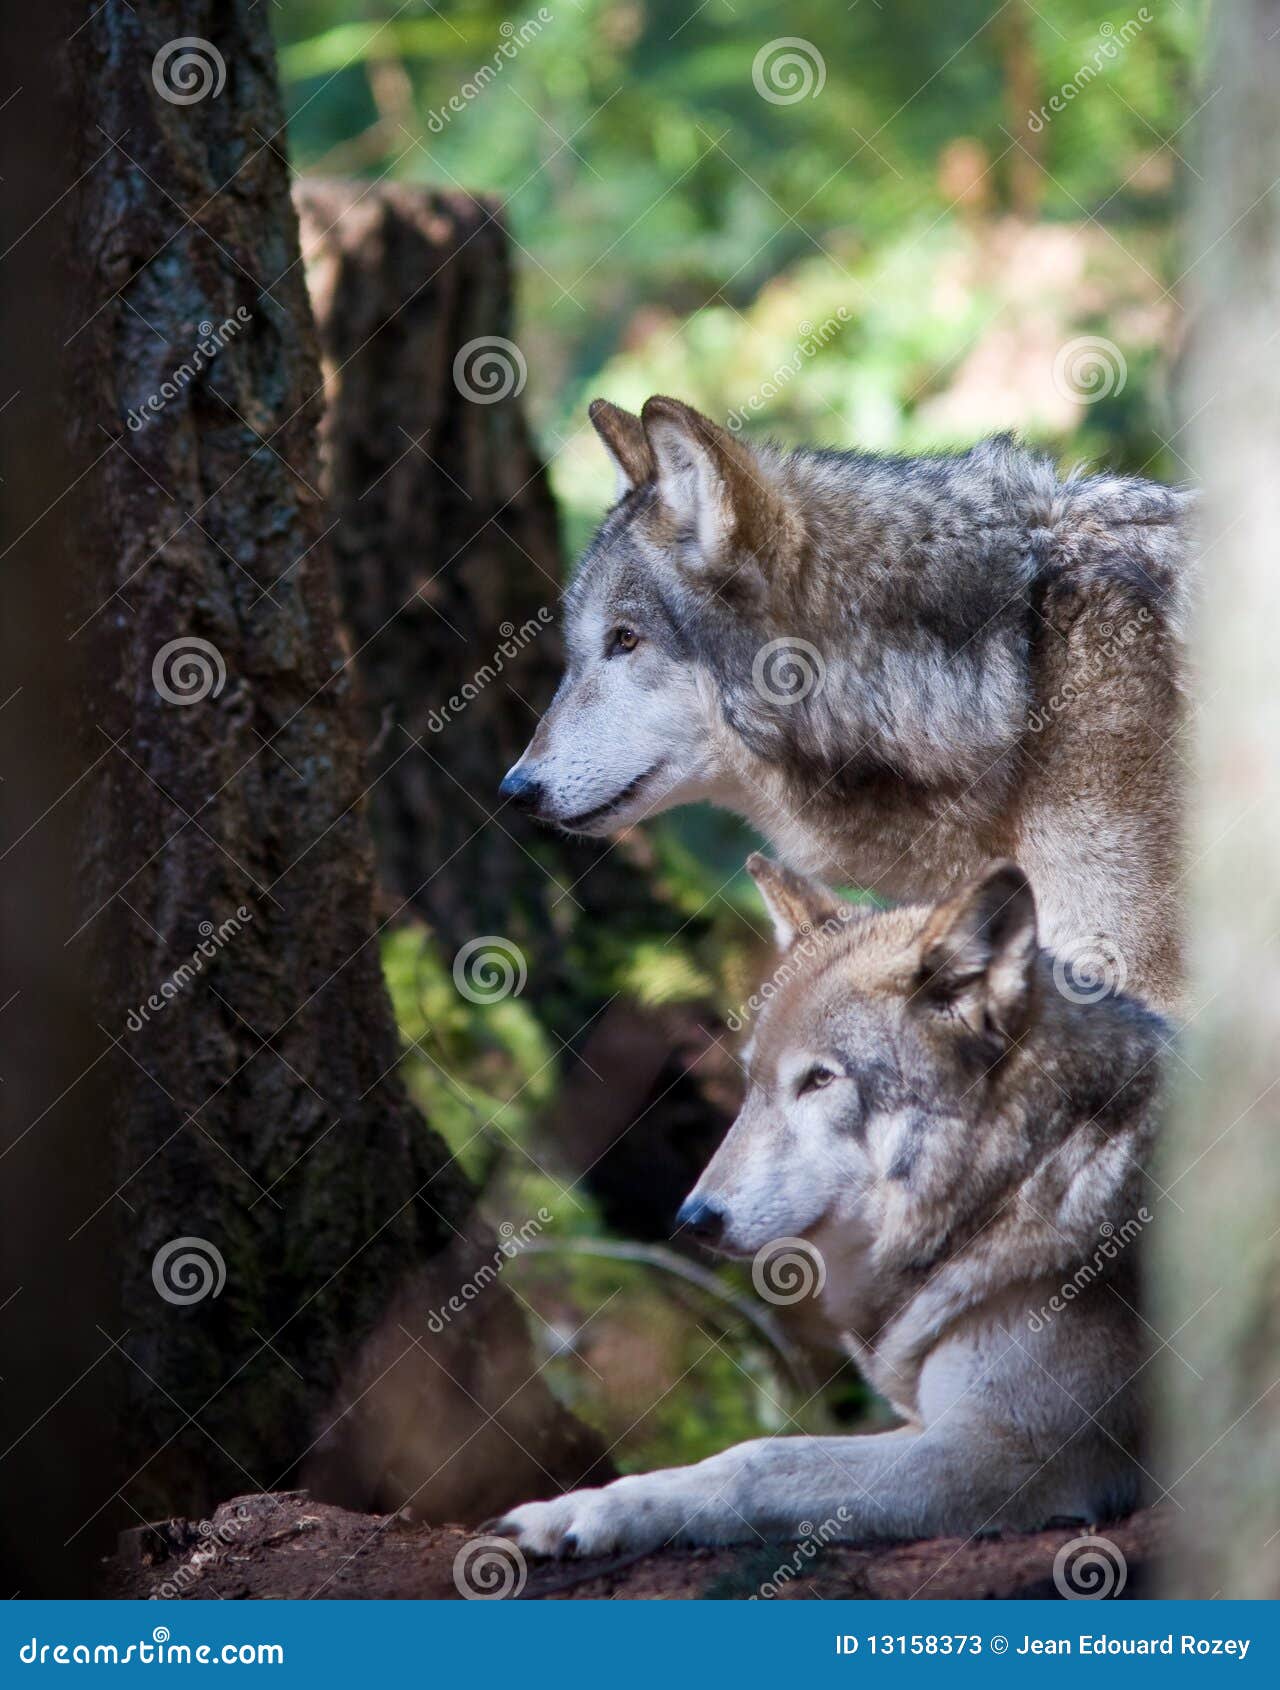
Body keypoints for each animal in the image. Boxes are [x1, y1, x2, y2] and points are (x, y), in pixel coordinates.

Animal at [493, 854, 1163, 1556]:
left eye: (819, 1080)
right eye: (753, 1084)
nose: (694, 1219)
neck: (1026, 1175)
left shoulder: (1003, 1456)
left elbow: (755, 1462)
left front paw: (598, 1512)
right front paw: (572, 1506)